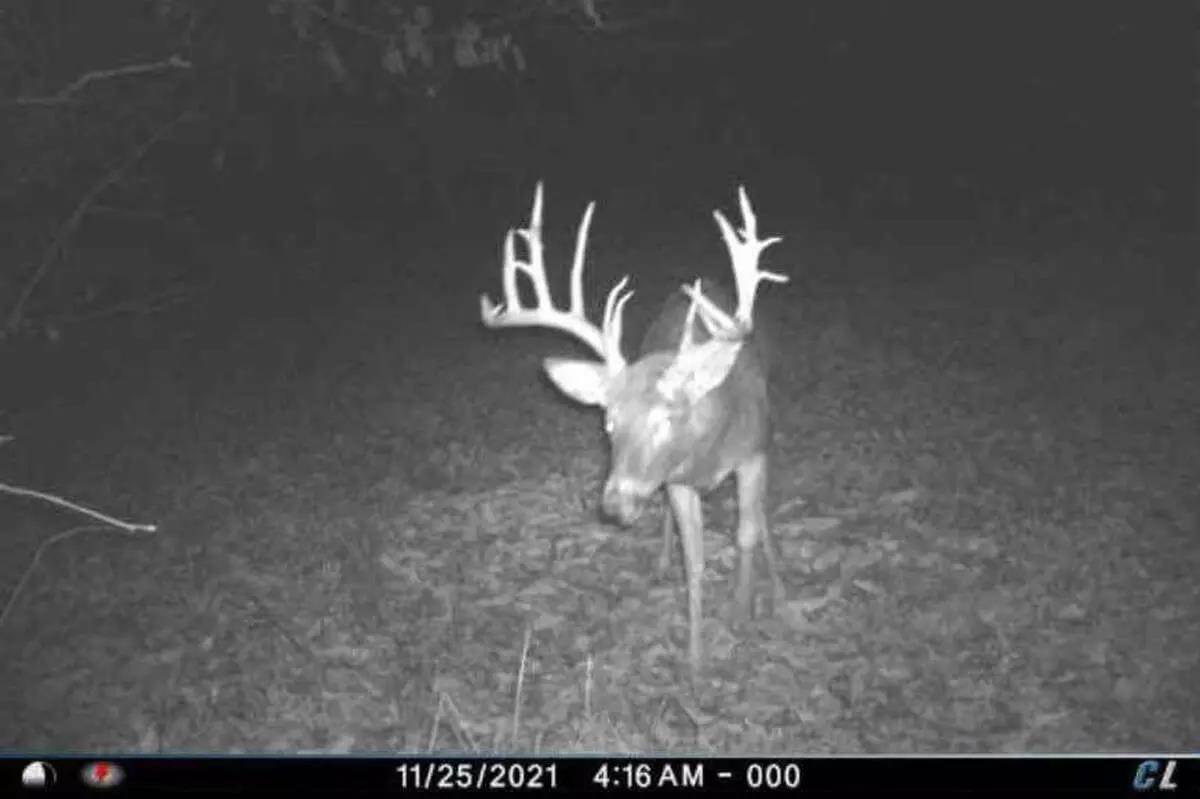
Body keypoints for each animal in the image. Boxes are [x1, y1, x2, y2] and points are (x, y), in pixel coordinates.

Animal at [479, 182, 788, 677]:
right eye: (609, 422)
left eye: (669, 416)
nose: (614, 506)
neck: (709, 450)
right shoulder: (677, 481)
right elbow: (693, 561)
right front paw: (696, 662)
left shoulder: (754, 452)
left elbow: (746, 532)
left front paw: (742, 613)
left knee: (758, 518)